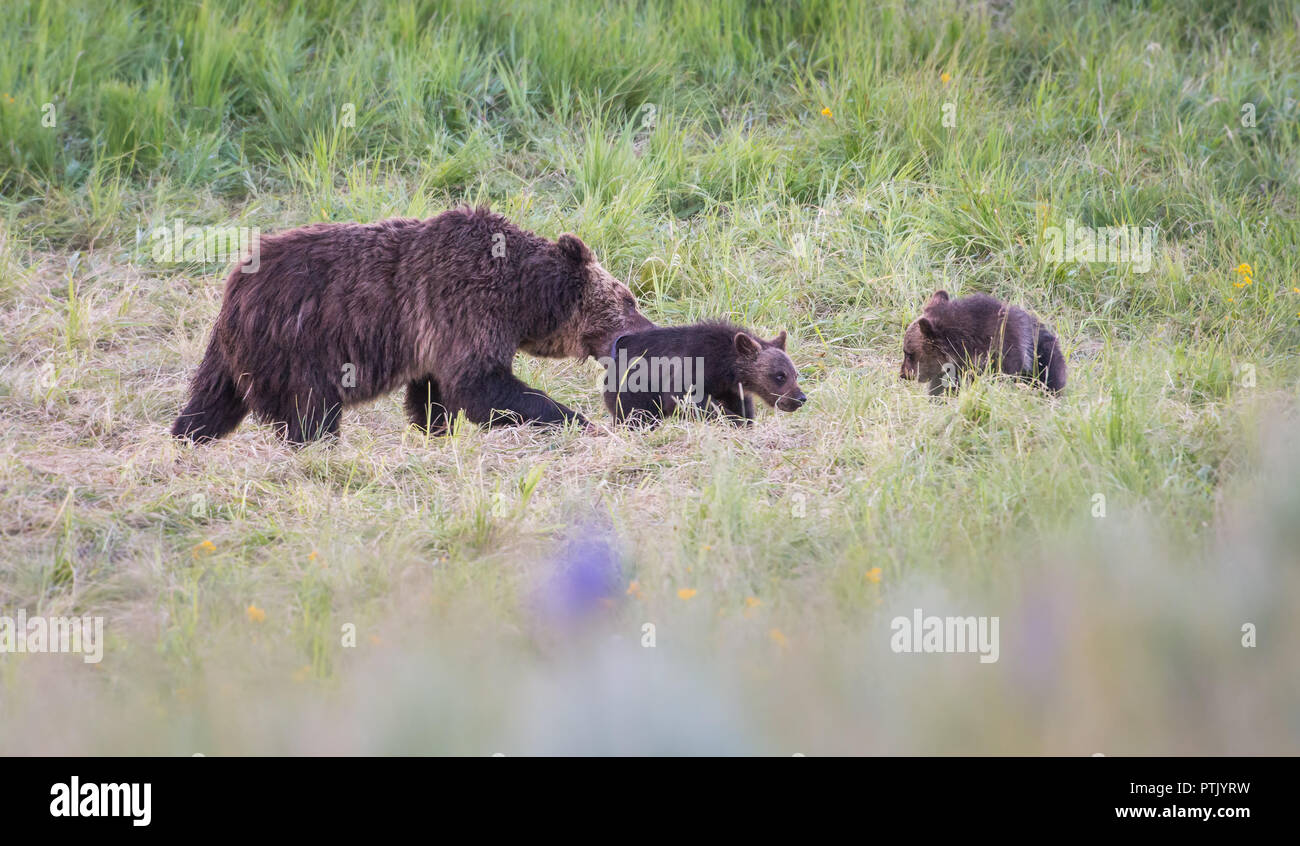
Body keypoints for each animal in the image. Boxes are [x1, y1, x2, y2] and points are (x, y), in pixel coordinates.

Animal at [171, 206, 653, 443]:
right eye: (628, 298)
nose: (647, 326)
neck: (523, 297)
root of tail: (234, 286)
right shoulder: (466, 305)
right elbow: (482, 386)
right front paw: (580, 421)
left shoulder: (436, 337)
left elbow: (434, 394)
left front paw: (434, 433)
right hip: (297, 345)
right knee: (311, 413)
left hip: (237, 355)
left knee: (210, 403)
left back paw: (185, 440)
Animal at [602, 321, 807, 426]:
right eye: (780, 375)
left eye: (795, 374)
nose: (801, 398)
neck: (723, 368)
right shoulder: (691, 370)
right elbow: (688, 399)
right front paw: (732, 420)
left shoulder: (729, 389)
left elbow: (743, 407)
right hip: (632, 389)